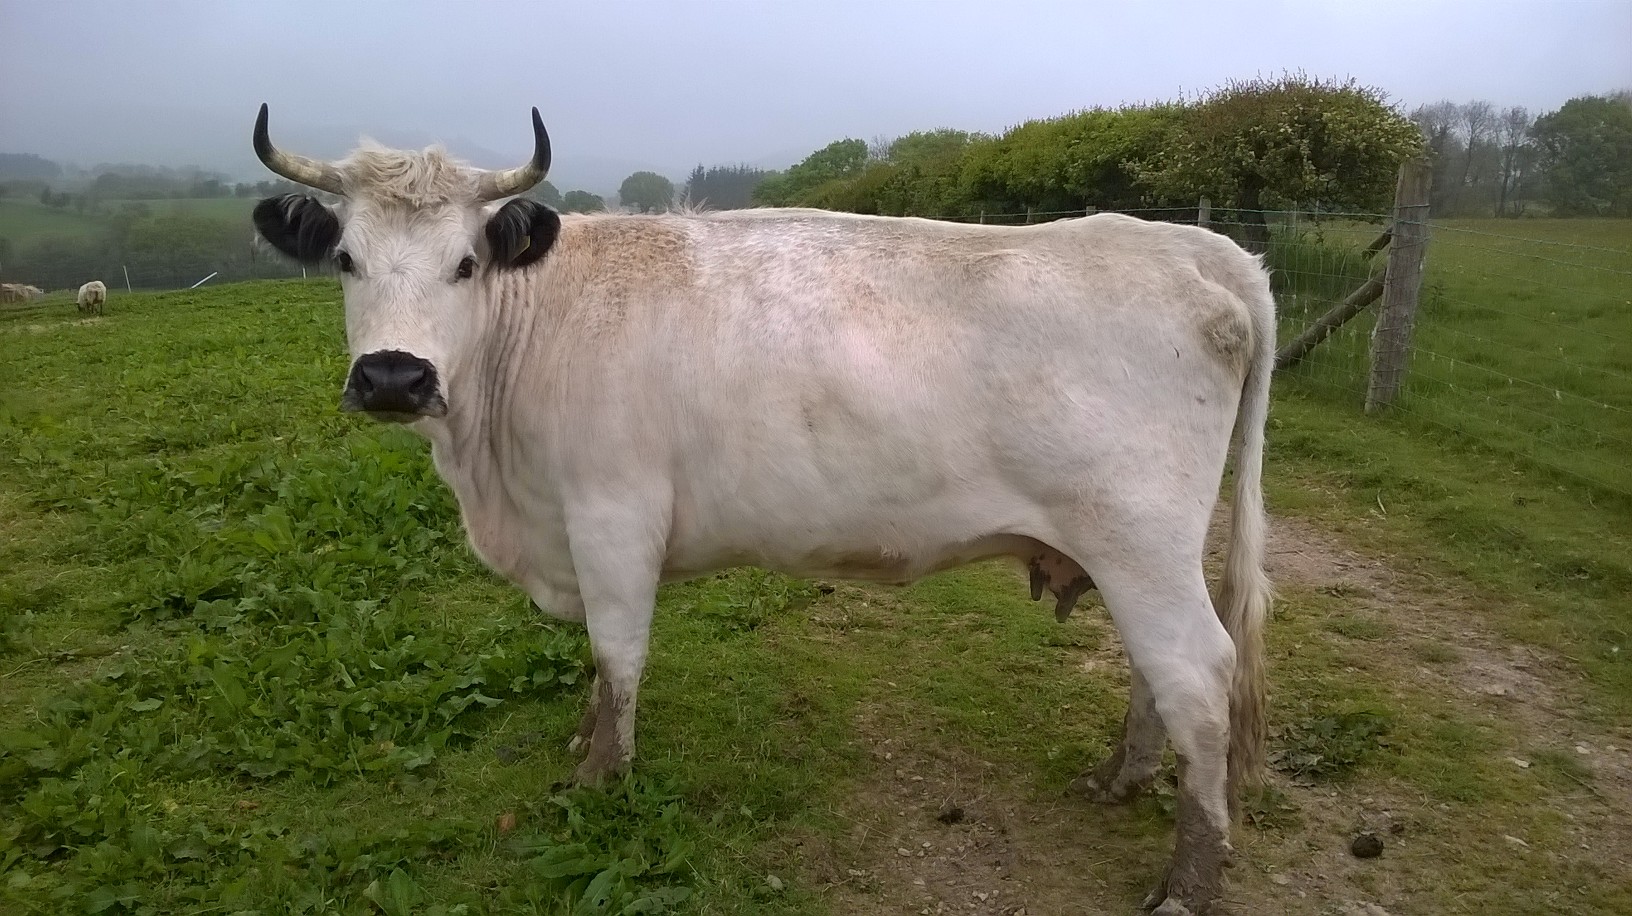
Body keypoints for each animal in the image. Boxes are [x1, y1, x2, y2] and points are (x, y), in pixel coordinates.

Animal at [250, 103, 1273, 916]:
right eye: (344, 258)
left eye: (466, 264)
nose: (393, 376)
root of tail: (1192, 244)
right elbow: (599, 667)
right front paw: (586, 736)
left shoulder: (614, 514)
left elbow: (617, 653)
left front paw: (600, 776)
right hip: (1130, 553)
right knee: (1153, 673)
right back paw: (1118, 779)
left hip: (1139, 541)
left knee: (1197, 675)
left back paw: (1189, 880)